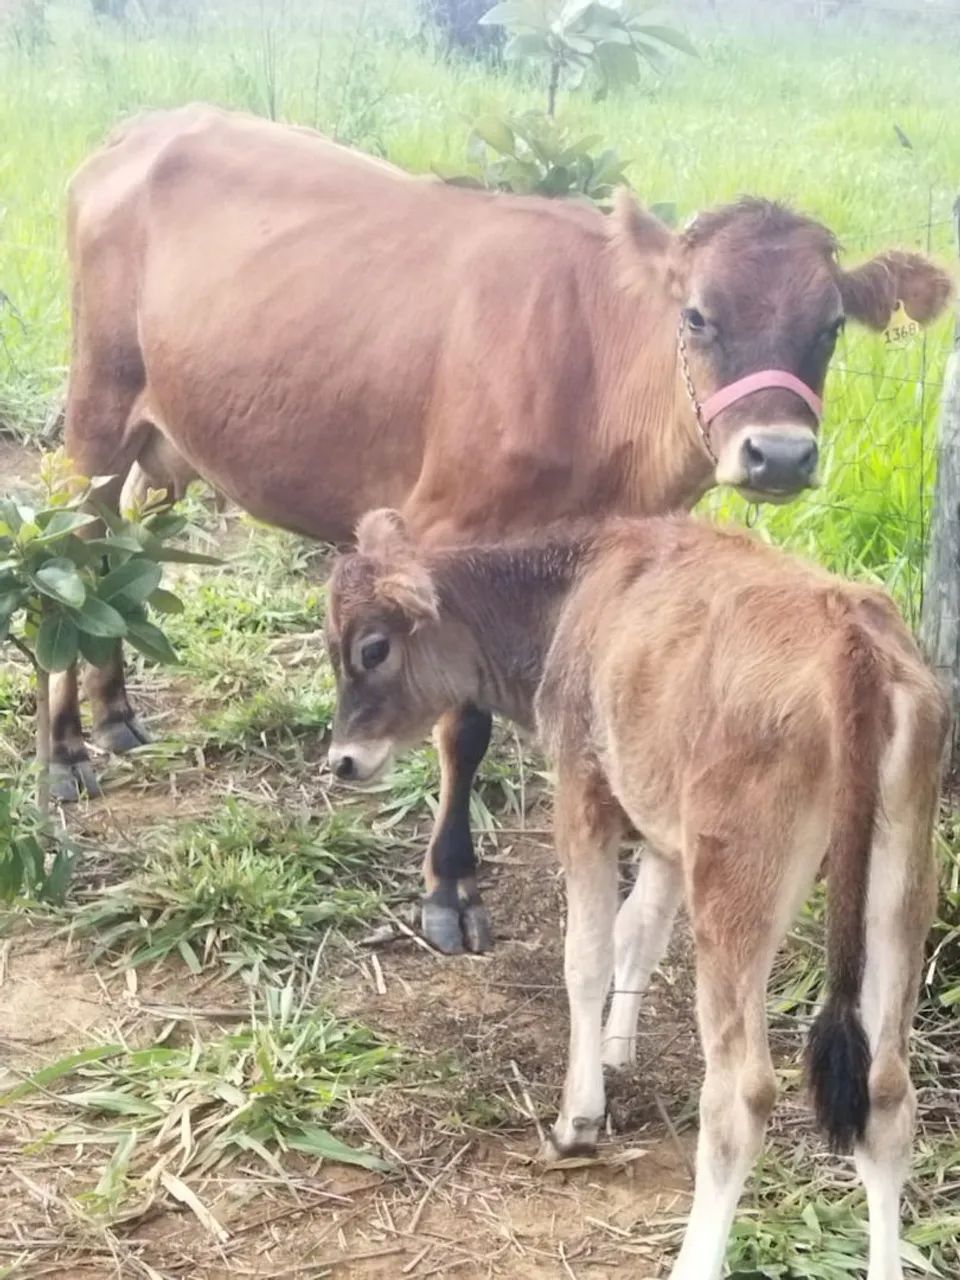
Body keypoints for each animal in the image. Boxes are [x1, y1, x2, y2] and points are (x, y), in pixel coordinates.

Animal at [55, 103, 952, 955]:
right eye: (698, 316)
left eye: (830, 327)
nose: (779, 454)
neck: (596, 384)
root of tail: (141, 129)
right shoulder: (444, 537)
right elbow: (465, 725)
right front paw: (451, 888)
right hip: (95, 408)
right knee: (73, 552)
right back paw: (65, 751)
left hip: (165, 445)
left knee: (123, 552)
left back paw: (115, 711)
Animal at [325, 507, 947, 1280]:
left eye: (373, 648)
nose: (341, 761)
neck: (576, 589)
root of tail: (850, 637)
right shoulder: (665, 831)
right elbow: (640, 929)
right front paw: (617, 1050)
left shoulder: (584, 789)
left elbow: (586, 954)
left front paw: (578, 1117)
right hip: (901, 881)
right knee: (887, 1093)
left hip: (738, 886)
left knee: (741, 1095)